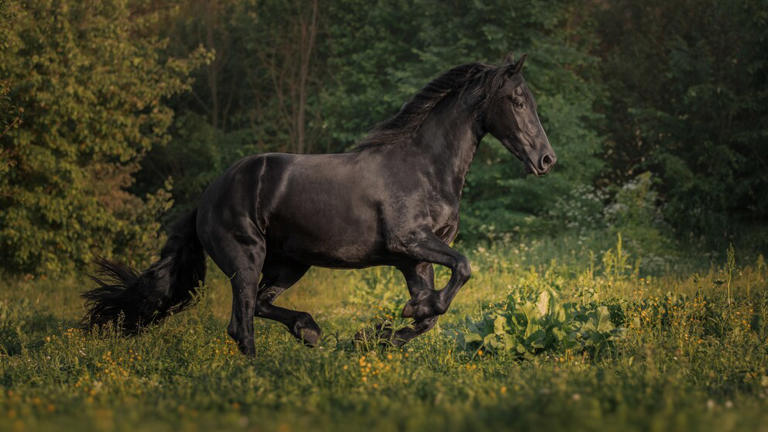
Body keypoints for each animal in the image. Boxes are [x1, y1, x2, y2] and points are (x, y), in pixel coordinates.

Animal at [82, 53, 557, 355]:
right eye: (517, 101)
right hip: (245, 258)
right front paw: (387, 325)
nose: (546, 160)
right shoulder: (409, 243)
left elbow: (434, 312)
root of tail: (207, 196)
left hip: (290, 263)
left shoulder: (414, 260)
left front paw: (376, 335)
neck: (425, 165)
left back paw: (308, 331)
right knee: (242, 322)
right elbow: (462, 269)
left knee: (259, 305)